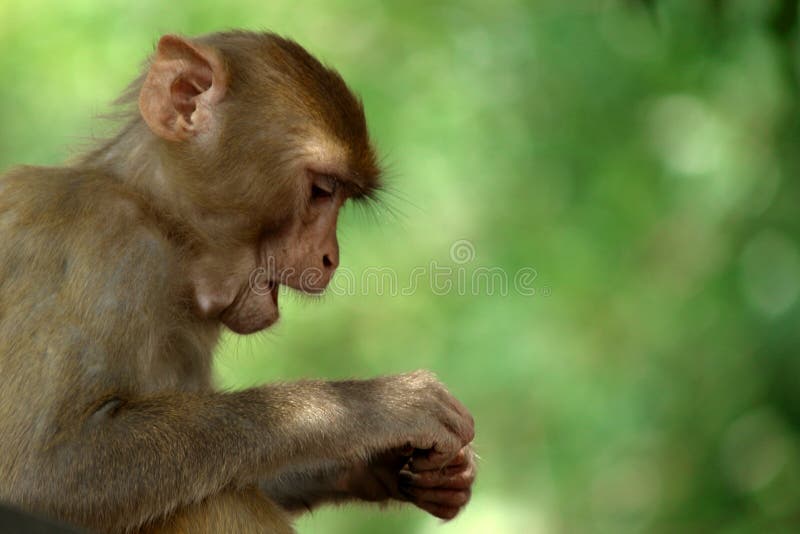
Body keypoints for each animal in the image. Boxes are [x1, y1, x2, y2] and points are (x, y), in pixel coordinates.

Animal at [0, 31, 476, 533]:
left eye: (340, 196)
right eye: (322, 191)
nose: (331, 258)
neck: (165, 226)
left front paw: (392, 466)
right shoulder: (99, 245)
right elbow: (41, 473)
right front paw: (369, 408)